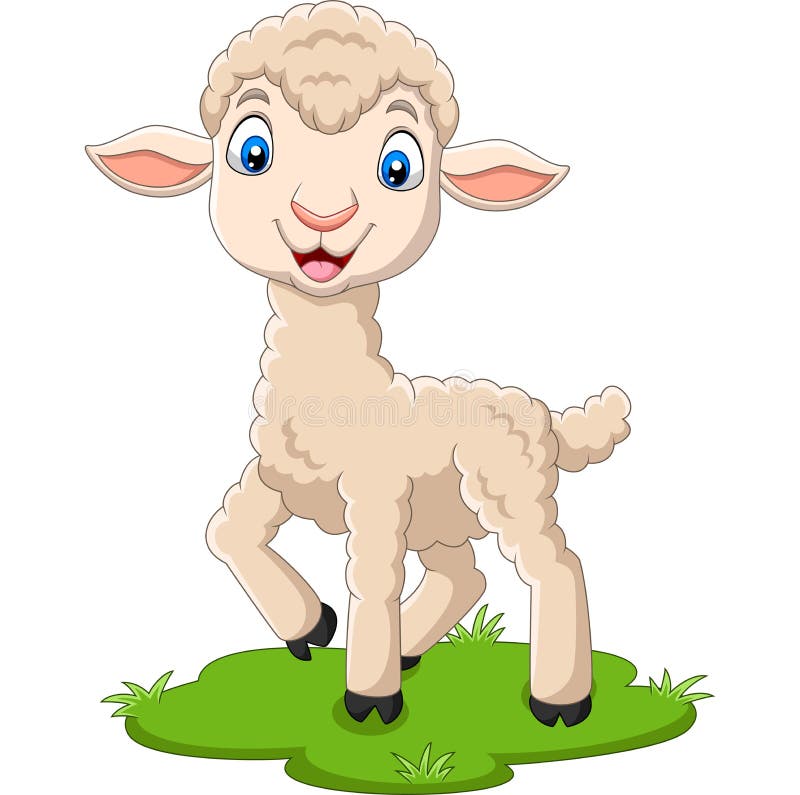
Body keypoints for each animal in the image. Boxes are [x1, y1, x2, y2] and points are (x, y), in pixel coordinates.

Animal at [86, 1, 630, 727]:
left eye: (399, 166)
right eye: (252, 153)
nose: (322, 216)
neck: (340, 388)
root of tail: (546, 417)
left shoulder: (375, 492)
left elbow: (370, 578)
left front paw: (369, 699)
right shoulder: (279, 478)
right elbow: (227, 530)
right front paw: (309, 625)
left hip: (509, 489)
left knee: (555, 565)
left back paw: (559, 701)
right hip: (442, 519)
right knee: (466, 577)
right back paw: (412, 647)